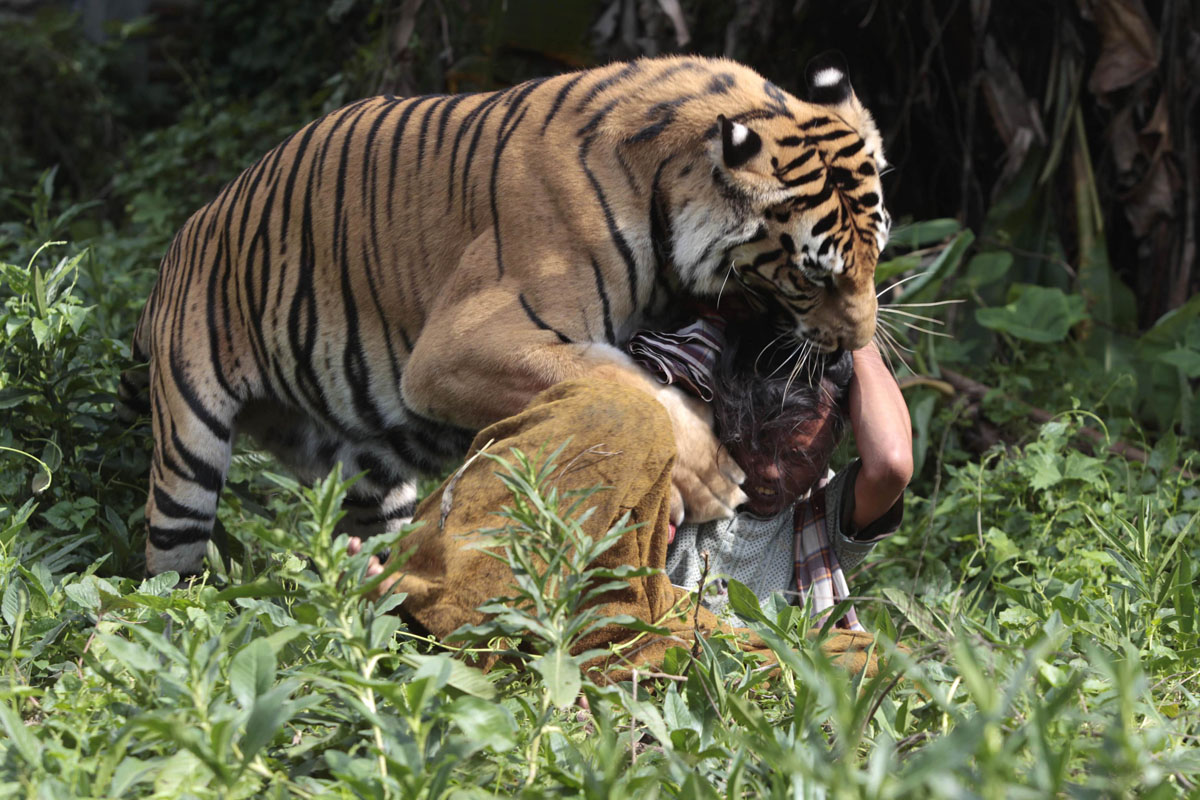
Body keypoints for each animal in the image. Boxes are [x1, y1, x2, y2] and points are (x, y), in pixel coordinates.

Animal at [129, 50, 892, 575]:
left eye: (876, 253)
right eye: (813, 275)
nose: (852, 345)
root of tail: (186, 233)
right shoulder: (456, 348)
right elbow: (622, 384)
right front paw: (703, 474)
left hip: (369, 476)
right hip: (187, 460)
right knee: (166, 578)